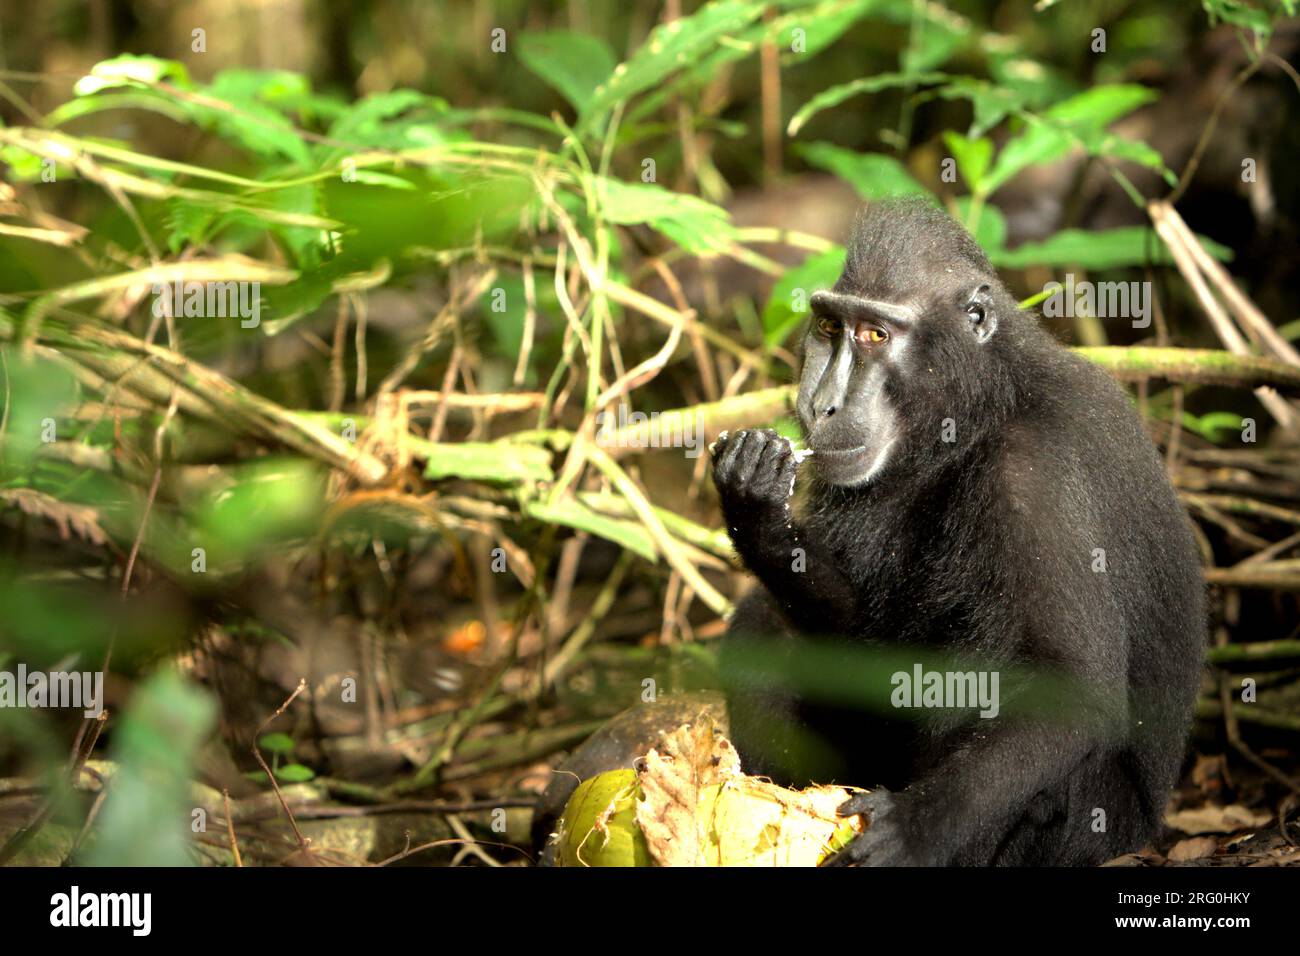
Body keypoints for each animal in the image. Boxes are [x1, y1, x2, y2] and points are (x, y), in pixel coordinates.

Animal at [711, 199, 1206, 866]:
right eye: (829, 328)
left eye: (875, 335)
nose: (822, 406)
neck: (973, 420)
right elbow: (855, 633)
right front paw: (756, 506)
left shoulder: (1036, 474)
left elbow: (1070, 690)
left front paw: (913, 827)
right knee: (763, 625)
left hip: (1092, 828)